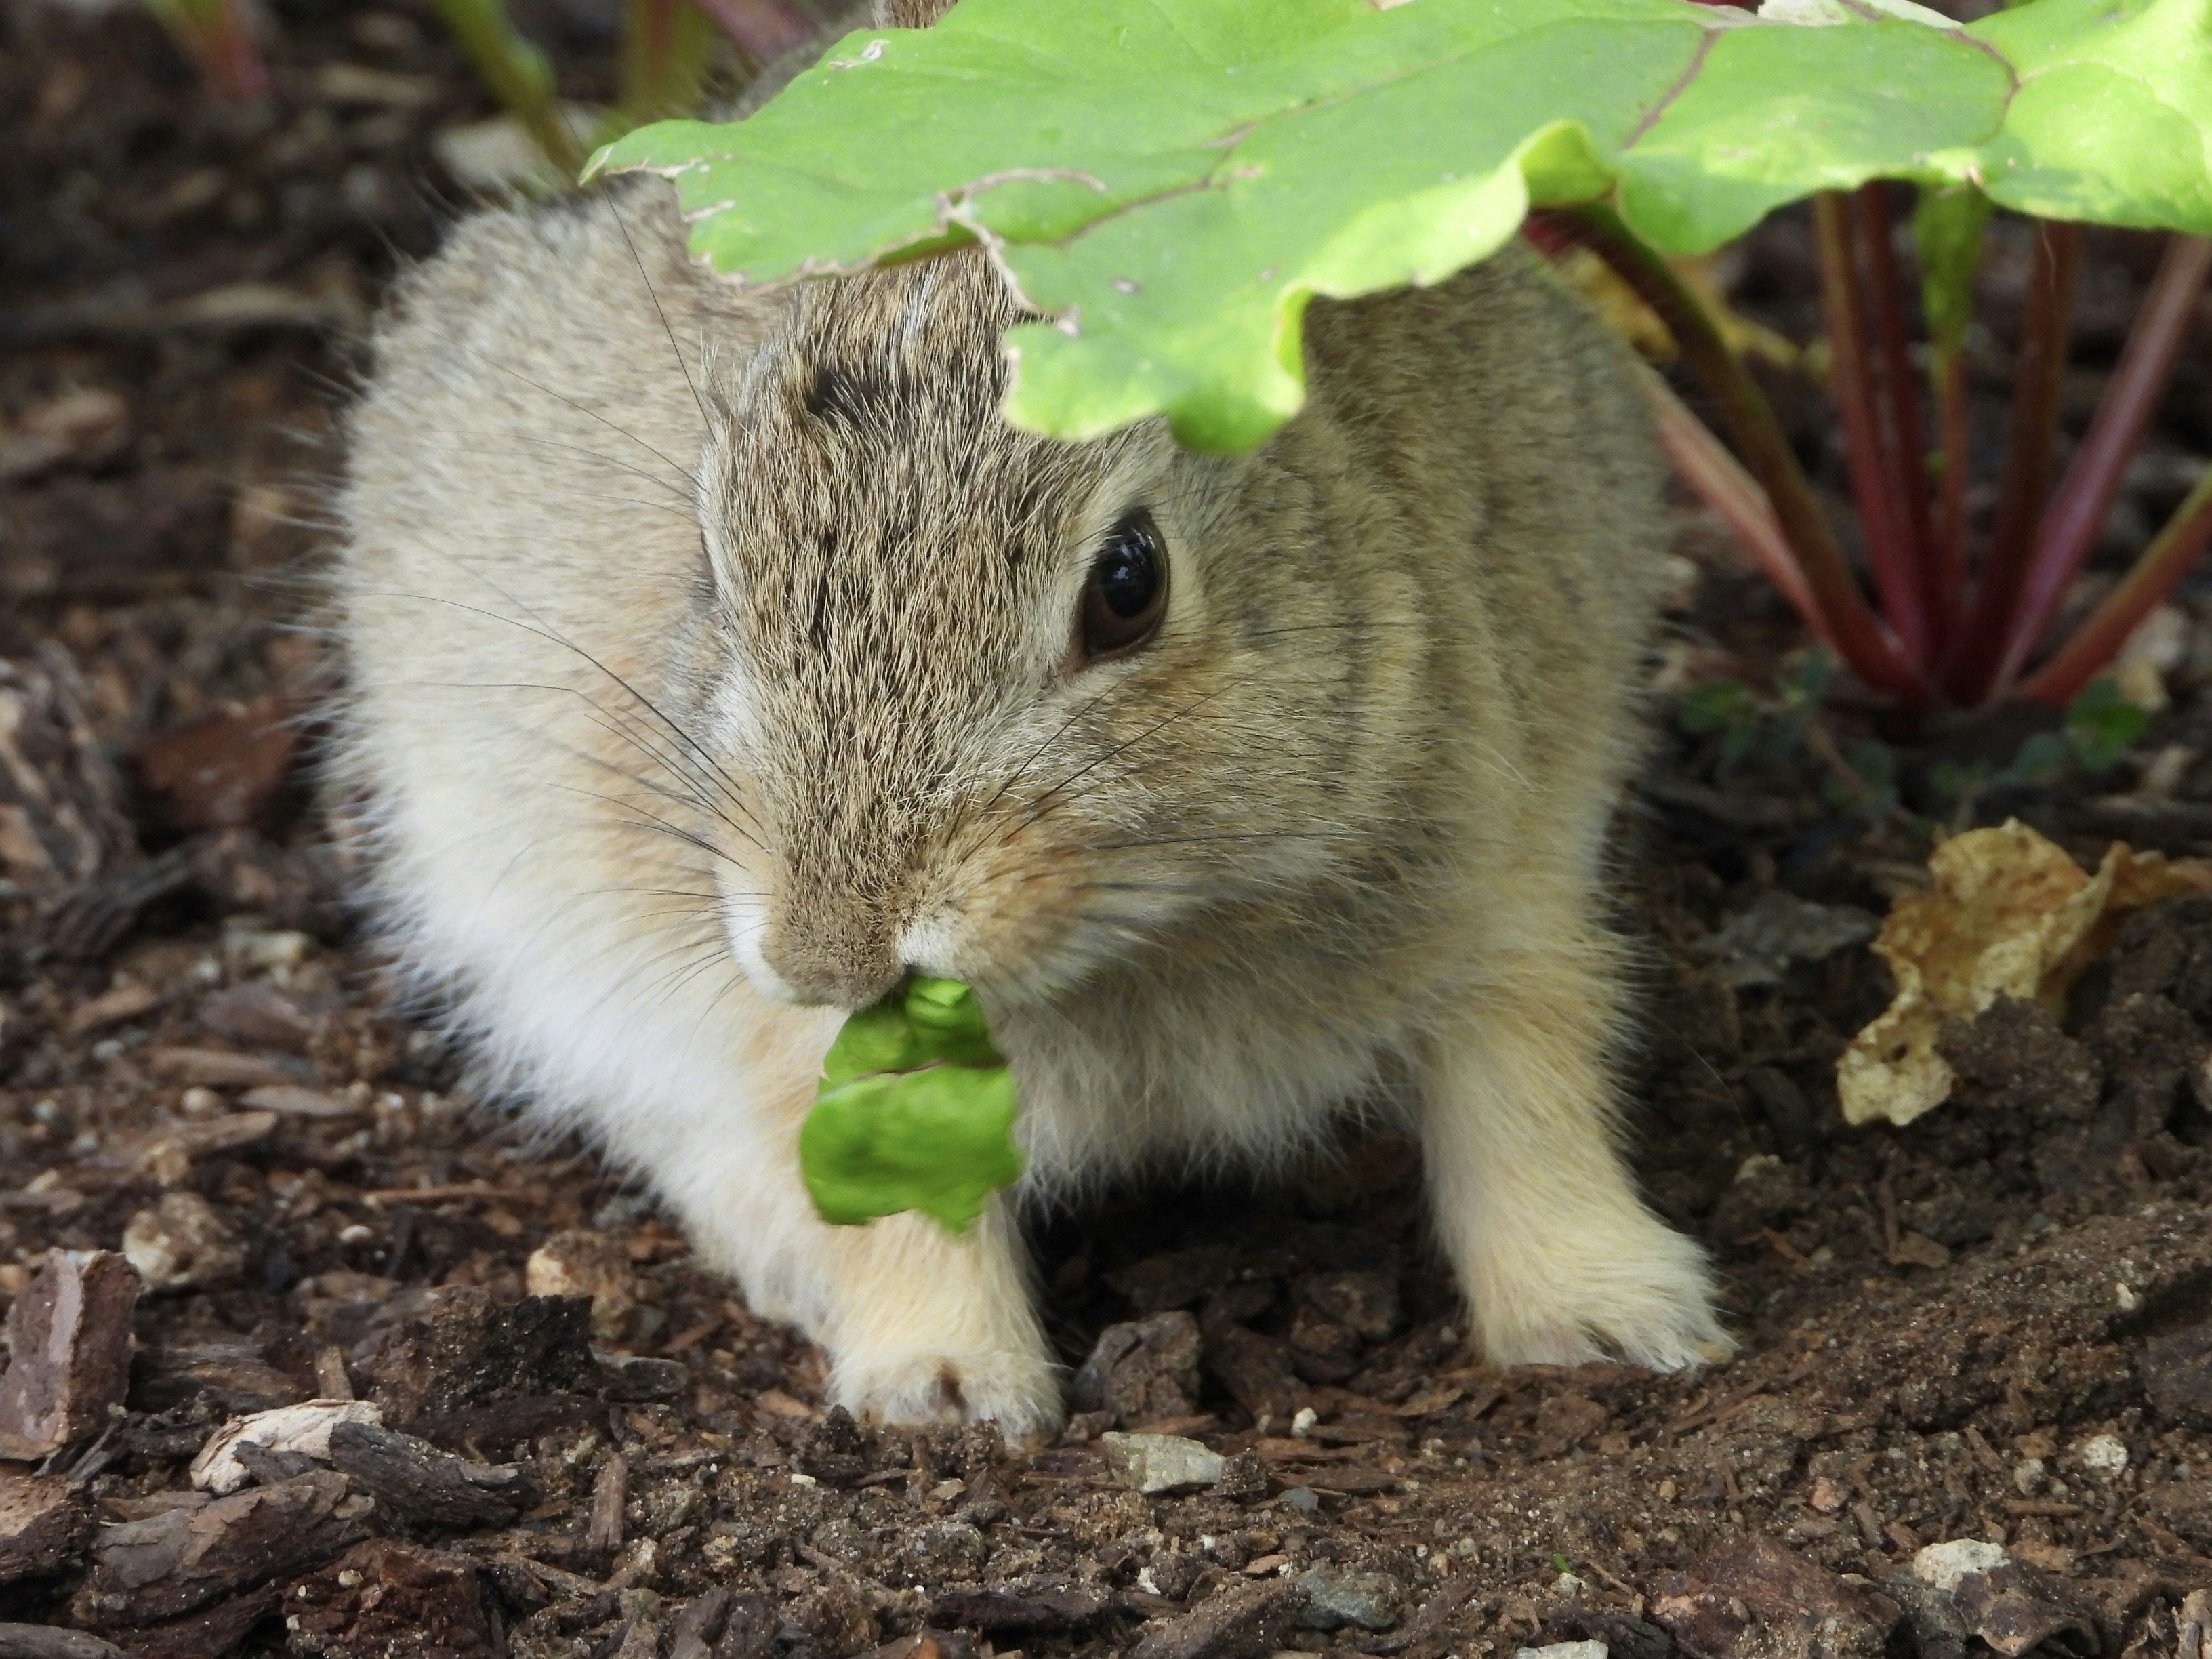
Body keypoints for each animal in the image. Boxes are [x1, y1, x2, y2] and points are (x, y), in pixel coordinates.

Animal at [332, 0, 1730, 1437]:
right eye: (713, 570)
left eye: (1127, 583)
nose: (827, 956)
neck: (1148, 934)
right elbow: (887, 1178)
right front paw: (946, 1384)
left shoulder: (1509, 874)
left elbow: (1524, 1086)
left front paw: (1608, 1318)